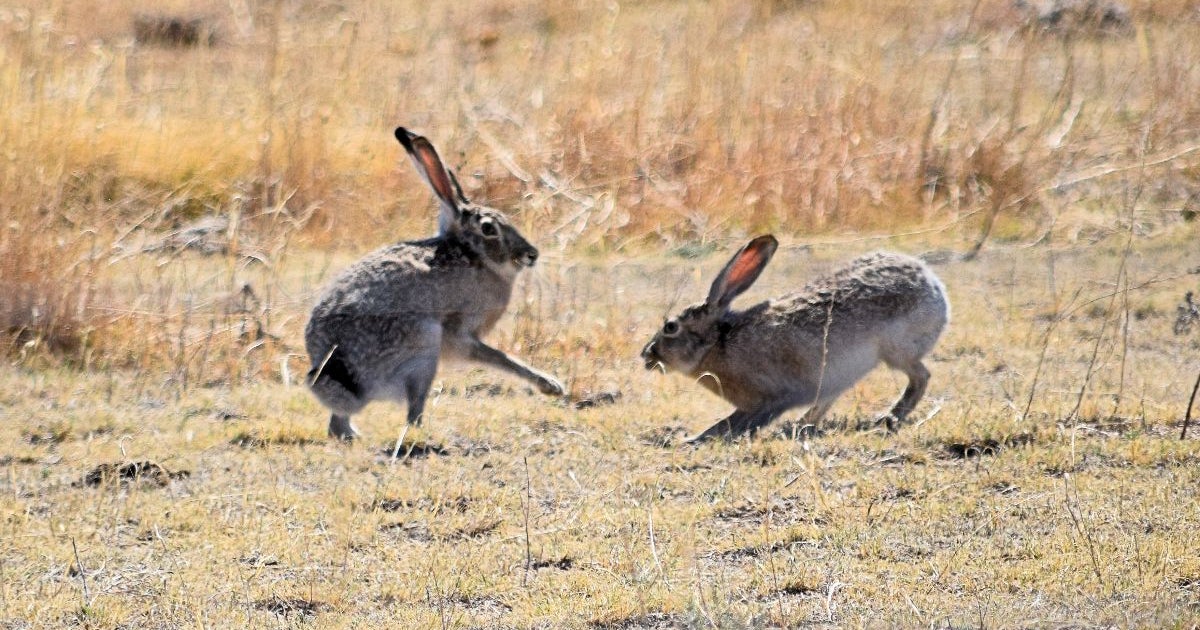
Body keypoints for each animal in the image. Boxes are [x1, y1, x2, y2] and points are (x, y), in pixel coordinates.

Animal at [305, 127, 564, 440]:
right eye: (488, 229)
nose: (531, 254)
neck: (471, 255)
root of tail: (336, 363)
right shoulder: (459, 334)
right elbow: (498, 357)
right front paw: (550, 385)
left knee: (338, 423)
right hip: (425, 346)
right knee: (410, 411)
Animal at [641, 235, 949, 443]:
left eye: (670, 327)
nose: (646, 355)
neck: (718, 343)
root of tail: (932, 283)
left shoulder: (769, 397)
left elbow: (736, 421)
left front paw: (695, 439)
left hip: (895, 351)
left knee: (921, 376)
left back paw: (889, 417)